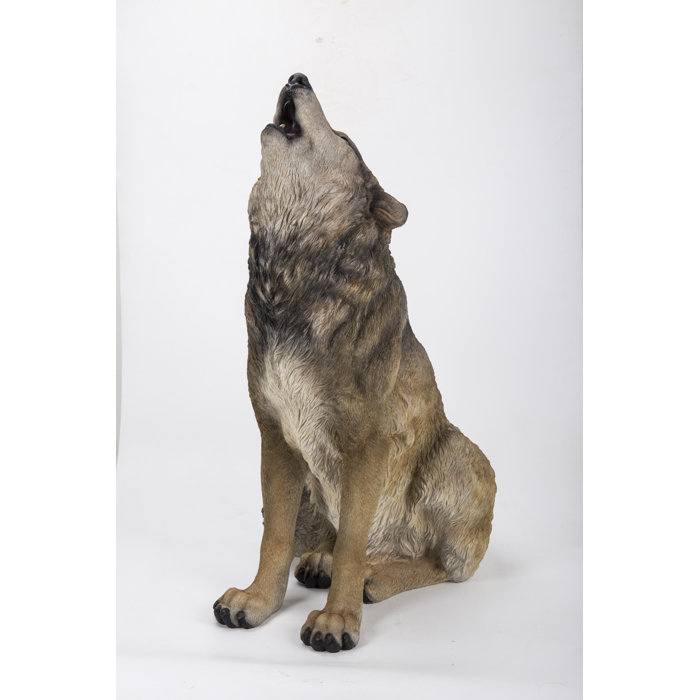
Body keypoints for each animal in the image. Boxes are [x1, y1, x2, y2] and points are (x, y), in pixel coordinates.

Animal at [213, 73, 496, 652]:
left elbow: (352, 546)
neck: (296, 274)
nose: (298, 77)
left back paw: (377, 574)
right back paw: (321, 558)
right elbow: (275, 536)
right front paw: (258, 601)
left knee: (437, 561)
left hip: (463, 454)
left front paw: (337, 619)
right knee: (329, 537)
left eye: (343, 139)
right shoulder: (276, 436)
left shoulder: (368, 443)